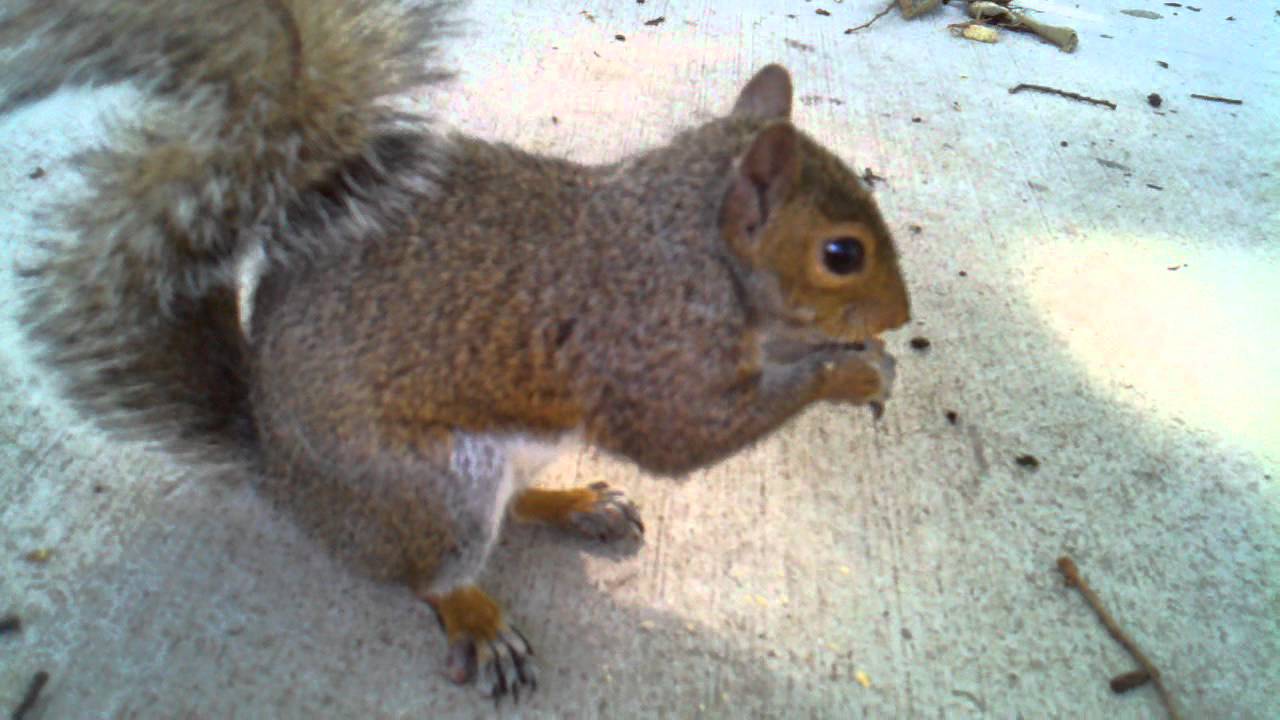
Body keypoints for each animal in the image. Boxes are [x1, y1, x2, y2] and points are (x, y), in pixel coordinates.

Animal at [2, 0, 910, 699]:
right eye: (841, 254)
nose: (901, 316)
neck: (690, 248)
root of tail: (280, 474)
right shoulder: (641, 345)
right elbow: (680, 438)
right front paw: (849, 369)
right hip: (434, 488)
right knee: (428, 575)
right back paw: (477, 616)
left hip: (521, 447)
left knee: (516, 505)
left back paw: (576, 504)